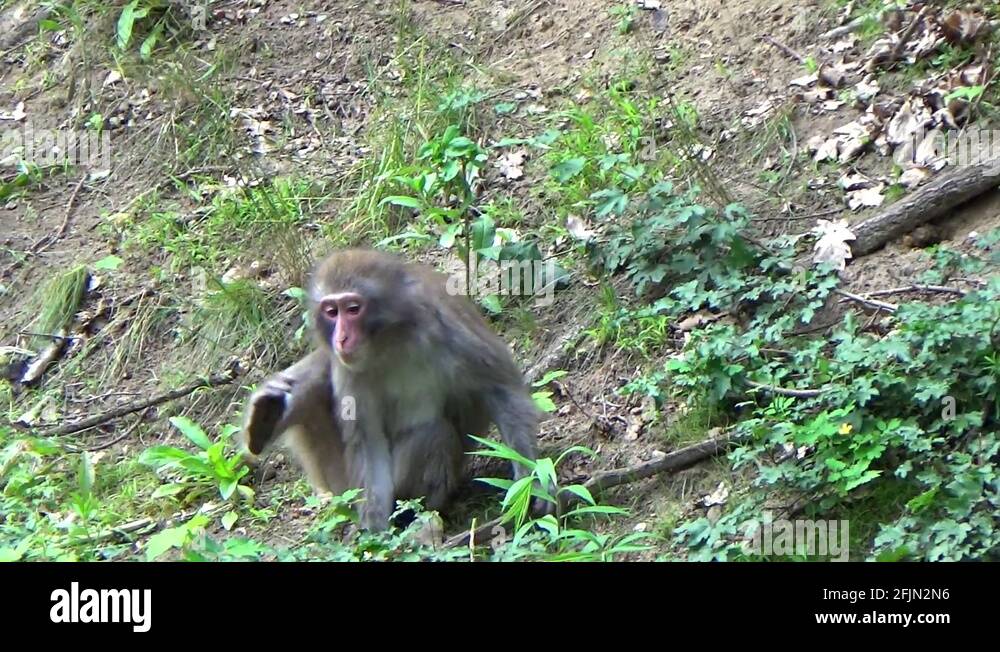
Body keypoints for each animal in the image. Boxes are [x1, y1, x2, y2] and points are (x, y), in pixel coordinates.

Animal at [243, 249, 547, 531]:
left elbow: (501, 390)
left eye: (353, 308)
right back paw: (266, 417)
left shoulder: (447, 323)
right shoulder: (349, 369)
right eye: (331, 312)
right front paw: (375, 531)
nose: (341, 338)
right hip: (340, 483)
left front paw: (532, 482)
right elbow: (368, 441)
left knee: (433, 434)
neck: (391, 338)